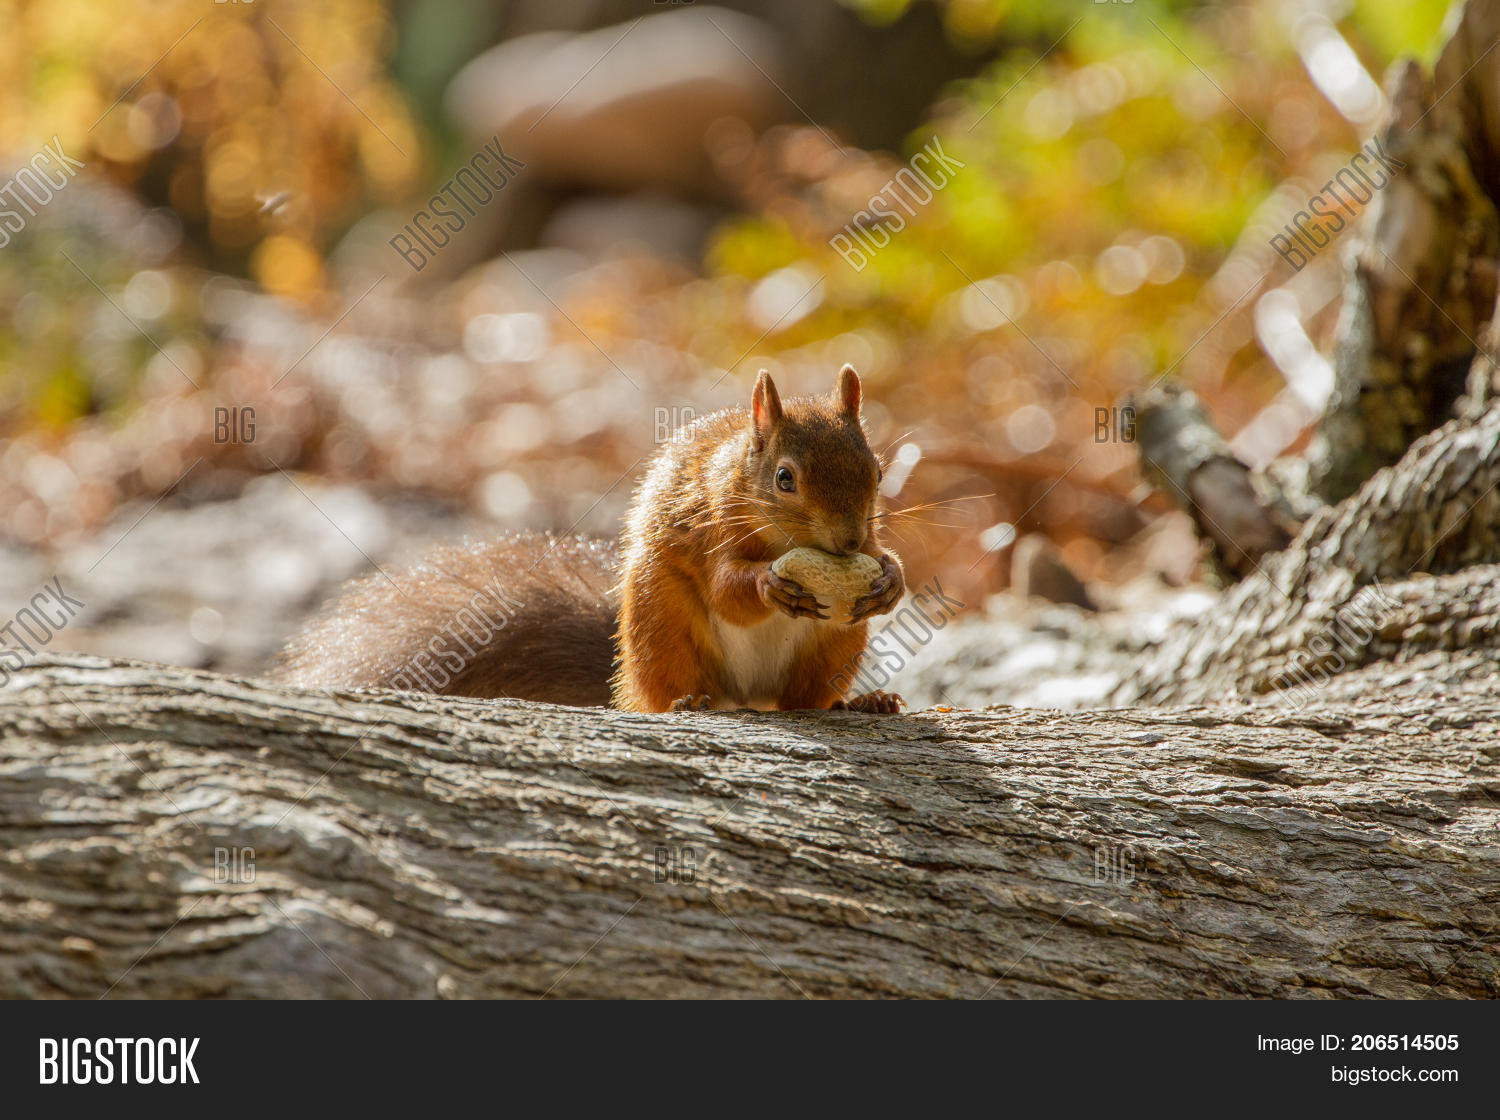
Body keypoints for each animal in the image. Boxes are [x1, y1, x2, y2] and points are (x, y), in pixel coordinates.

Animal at [271, 365, 905, 714]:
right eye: (784, 479)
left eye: (877, 471)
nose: (850, 541)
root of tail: (748, 700)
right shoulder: (707, 527)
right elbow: (729, 589)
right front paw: (771, 585)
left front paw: (892, 578)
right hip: (661, 625)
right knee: (664, 696)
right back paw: (687, 703)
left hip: (834, 646)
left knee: (805, 701)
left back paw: (864, 702)